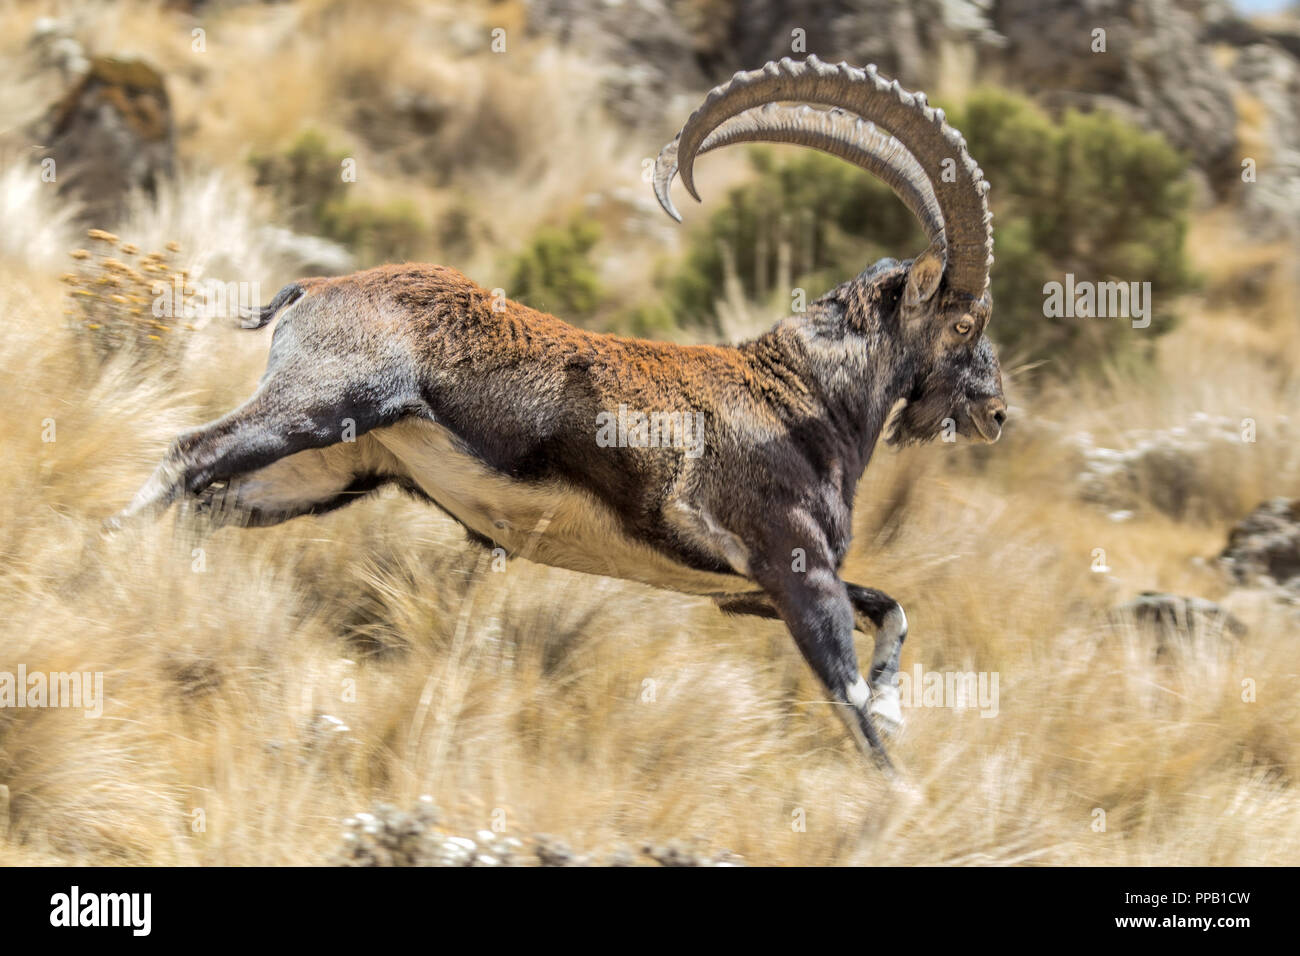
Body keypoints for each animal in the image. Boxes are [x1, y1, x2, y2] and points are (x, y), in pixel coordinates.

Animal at [110, 57, 1006, 775]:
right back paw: (100, 563)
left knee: (209, 498)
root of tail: (318, 288)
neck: (806, 402)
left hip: (330, 472)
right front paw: (897, 797)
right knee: (190, 453)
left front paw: (895, 703)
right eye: (967, 322)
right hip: (316, 408)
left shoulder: (745, 588)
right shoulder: (795, 571)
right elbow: (852, 707)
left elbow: (889, 609)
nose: (997, 411)